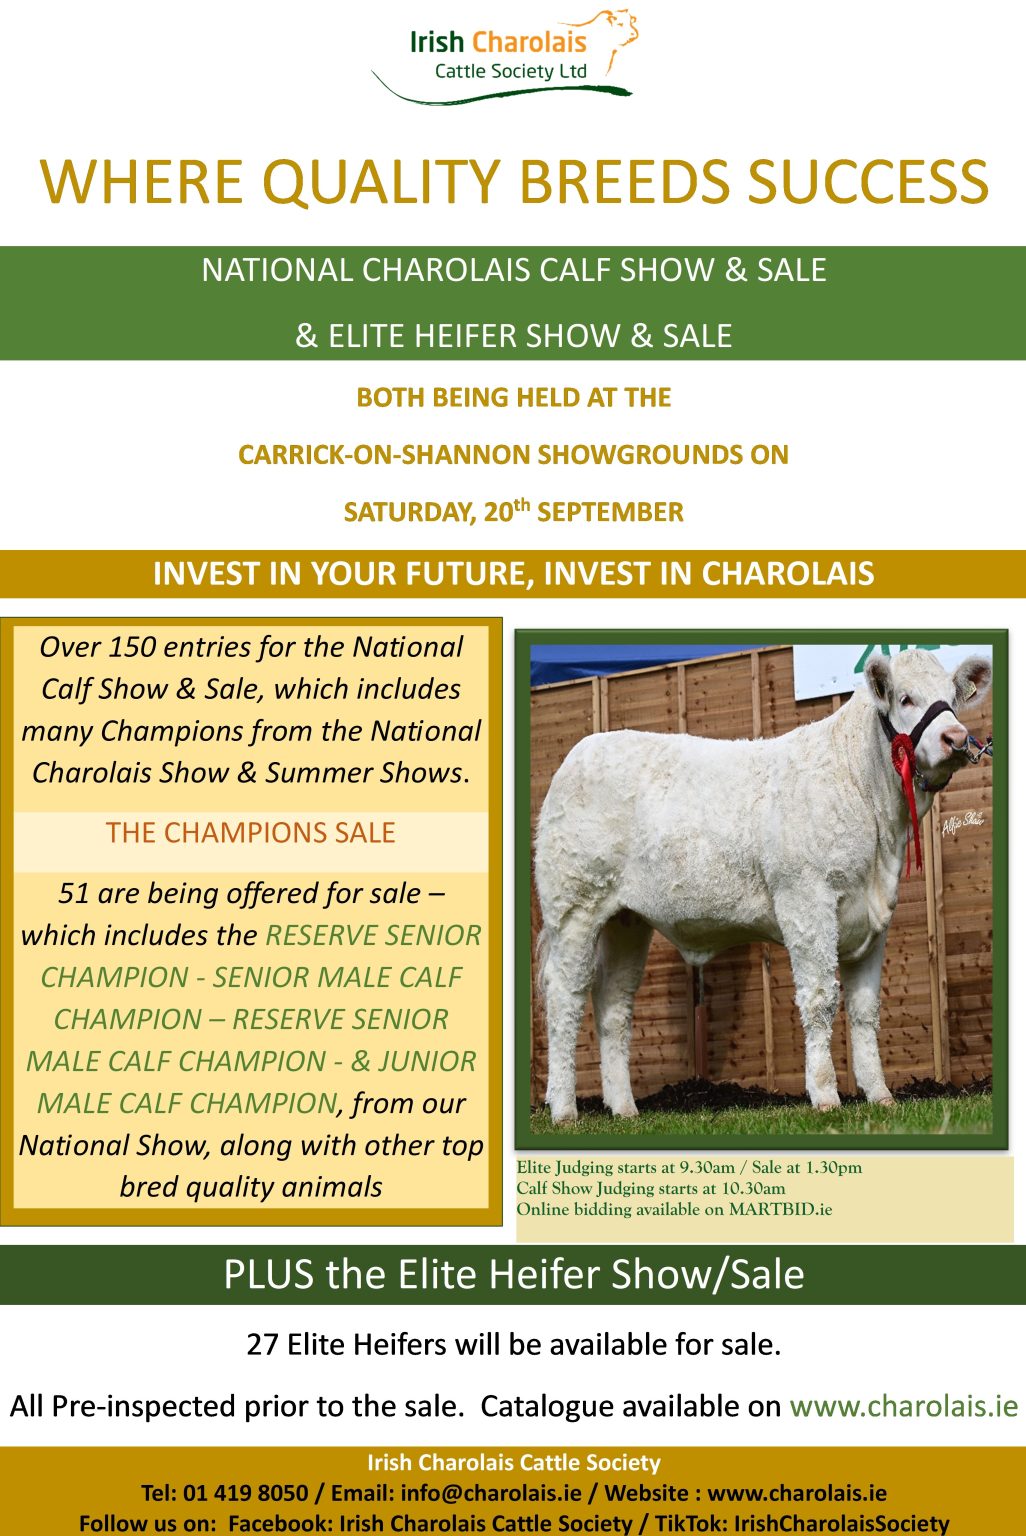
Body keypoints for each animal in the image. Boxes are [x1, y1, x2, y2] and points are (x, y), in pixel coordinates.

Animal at [534, 649, 992, 1123]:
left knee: (614, 1005)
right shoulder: (806, 901)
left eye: (951, 699)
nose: (957, 738)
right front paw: (825, 1094)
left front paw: (879, 1094)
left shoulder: (874, 917)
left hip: (627, 921)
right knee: (565, 998)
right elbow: (819, 998)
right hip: (574, 908)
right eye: (905, 698)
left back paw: (624, 1108)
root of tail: (580, 754)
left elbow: (865, 1008)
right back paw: (564, 1109)